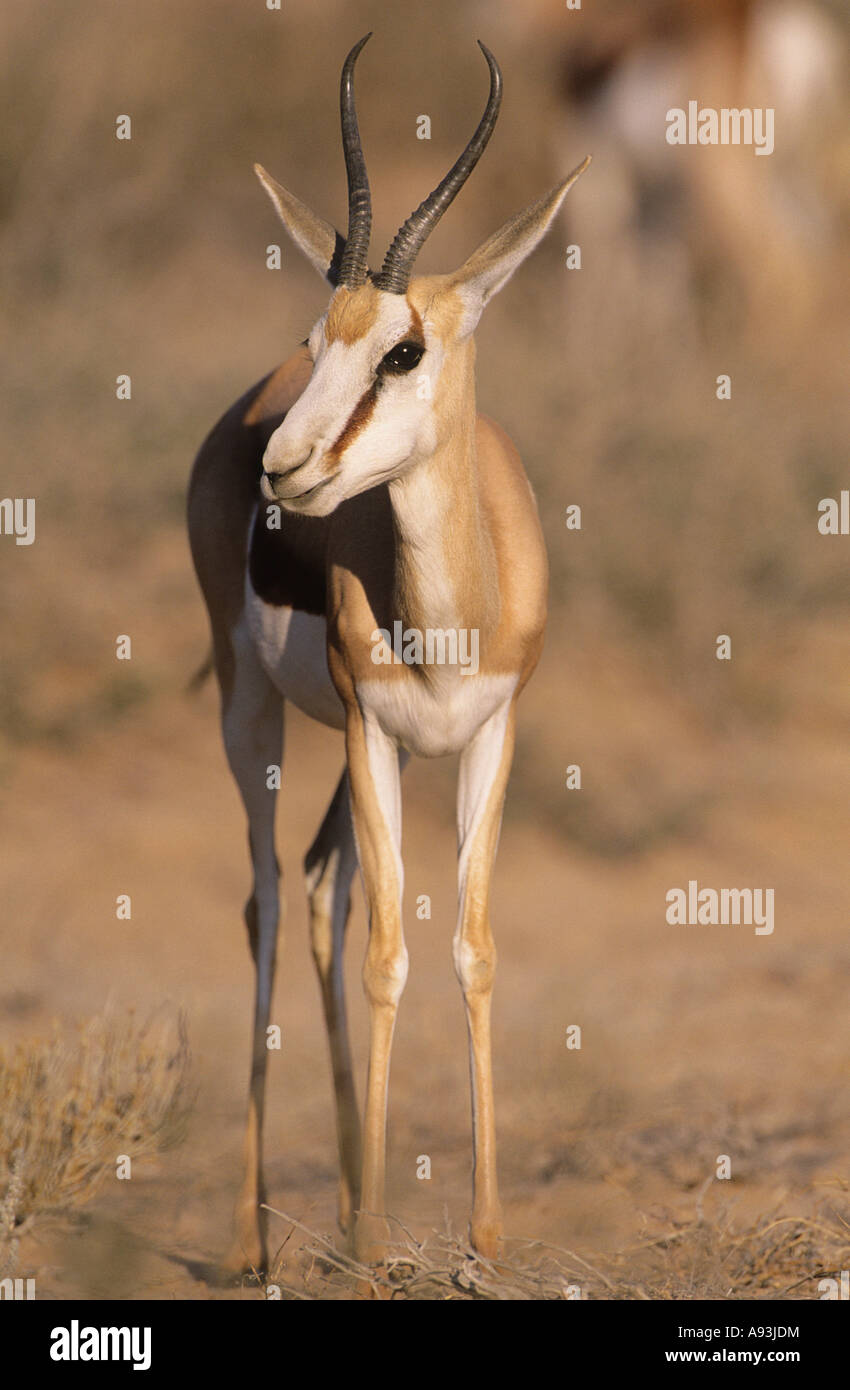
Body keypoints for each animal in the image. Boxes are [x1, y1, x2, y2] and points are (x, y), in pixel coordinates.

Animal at [188, 32, 589, 1273]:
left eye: (403, 350)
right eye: (318, 338)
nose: (284, 466)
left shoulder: (486, 737)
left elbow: (470, 946)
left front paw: (485, 1236)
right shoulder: (368, 727)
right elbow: (385, 954)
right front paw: (369, 1245)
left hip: (393, 755)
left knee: (323, 883)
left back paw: (349, 1198)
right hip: (253, 713)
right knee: (272, 899)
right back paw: (256, 1234)